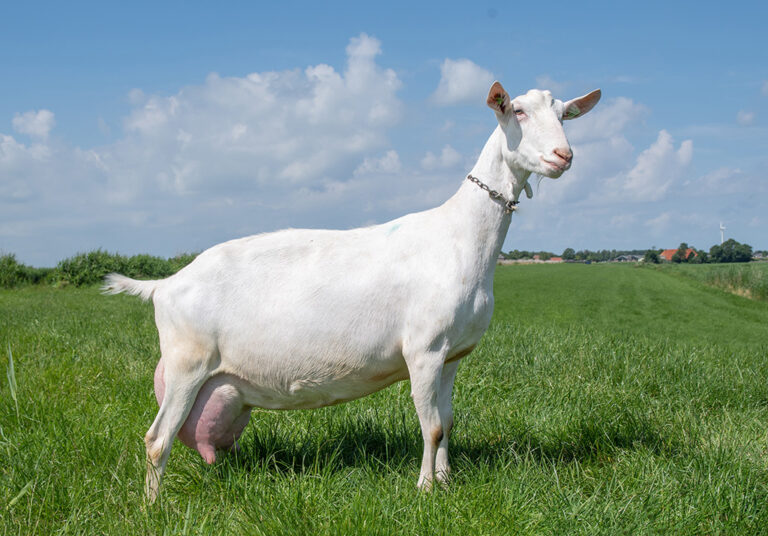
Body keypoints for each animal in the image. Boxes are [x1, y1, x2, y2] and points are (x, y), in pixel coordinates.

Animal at [104, 81, 601, 501]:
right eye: (516, 110)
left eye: (564, 114)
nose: (563, 155)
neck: (460, 237)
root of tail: (165, 285)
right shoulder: (423, 348)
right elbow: (431, 427)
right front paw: (424, 490)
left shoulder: (452, 354)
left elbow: (447, 422)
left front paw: (446, 482)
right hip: (187, 362)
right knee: (157, 439)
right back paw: (154, 507)